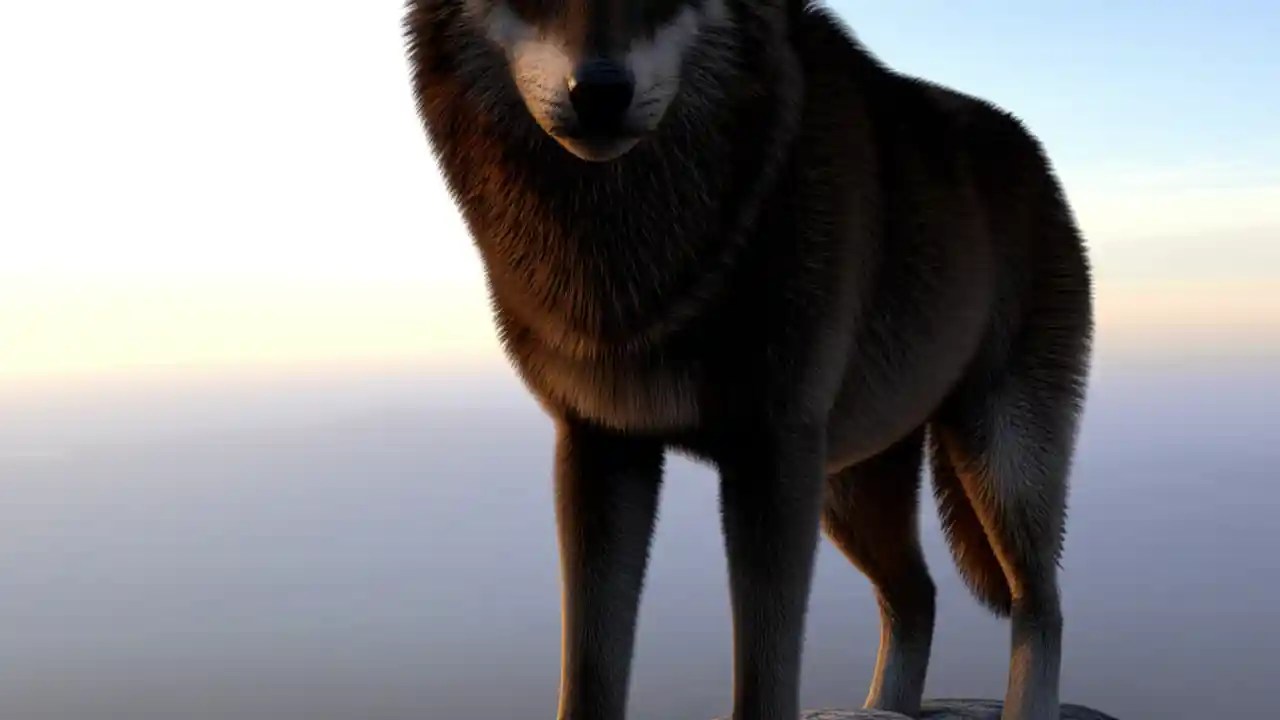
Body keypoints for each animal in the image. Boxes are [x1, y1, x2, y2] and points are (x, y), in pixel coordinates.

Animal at [405, 0, 1093, 718]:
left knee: (1040, 601)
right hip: (848, 484)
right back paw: (885, 708)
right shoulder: (600, 438)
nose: (599, 91)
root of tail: (1033, 150)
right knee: (915, 595)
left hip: (998, 459)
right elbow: (590, 669)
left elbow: (765, 674)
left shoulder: (772, 450)